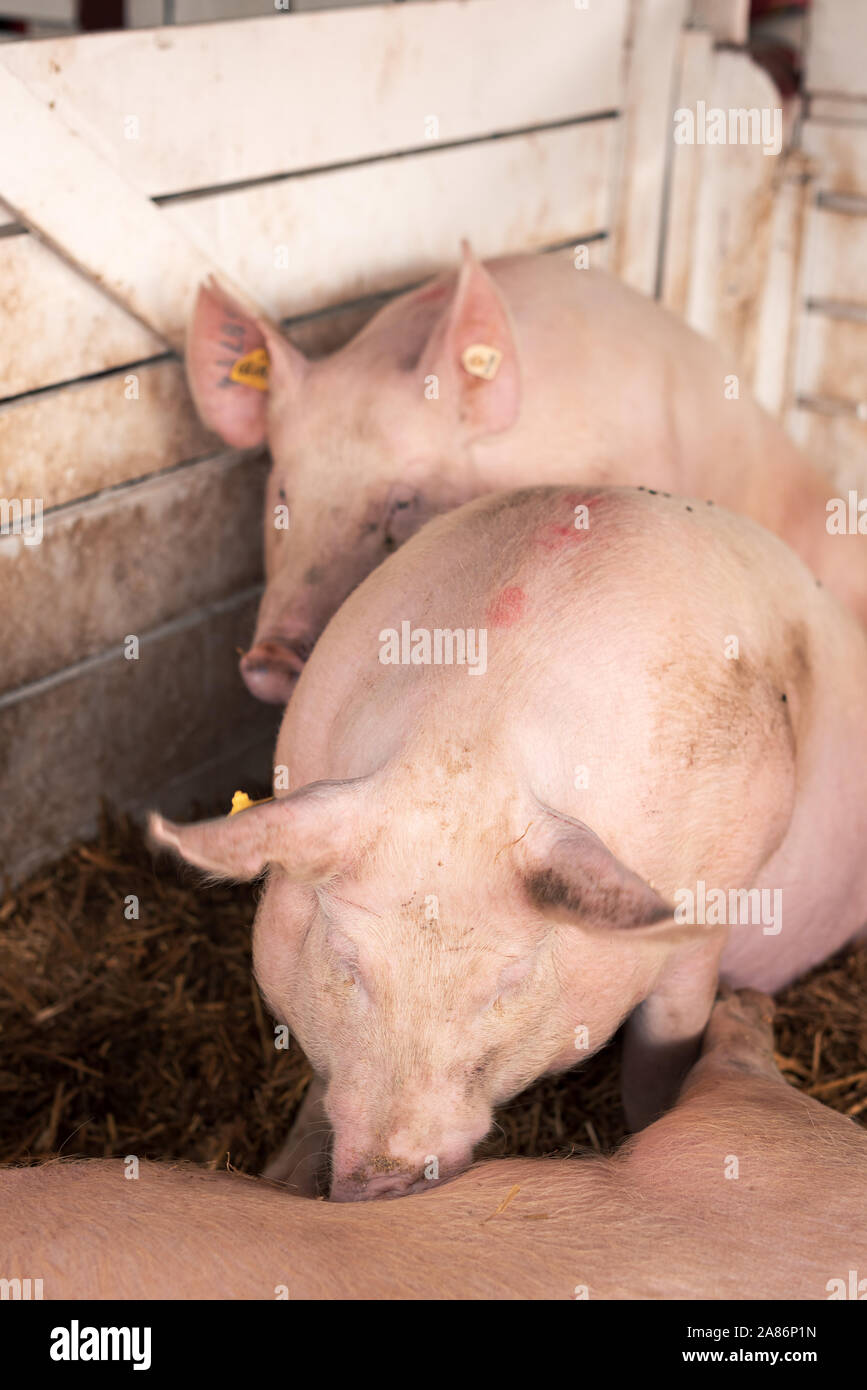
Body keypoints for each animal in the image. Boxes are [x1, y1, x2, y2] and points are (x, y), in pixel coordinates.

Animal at [150, 486, 867, 1200]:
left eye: (509, 981)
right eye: (345, 959)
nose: (381, 1181)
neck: (465, 738)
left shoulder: (712, 910)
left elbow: (658, 1055)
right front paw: (281, 1180)